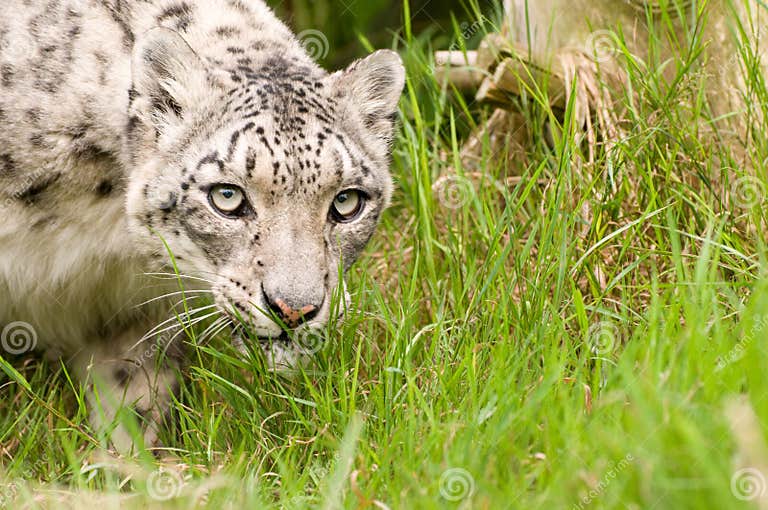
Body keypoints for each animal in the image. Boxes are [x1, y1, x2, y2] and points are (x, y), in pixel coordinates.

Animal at [0, 0, 405, 453]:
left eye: (347, 202)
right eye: (226, 196)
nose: (294, 310)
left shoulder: (132, 317)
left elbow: (132, 402)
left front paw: (127, 462)